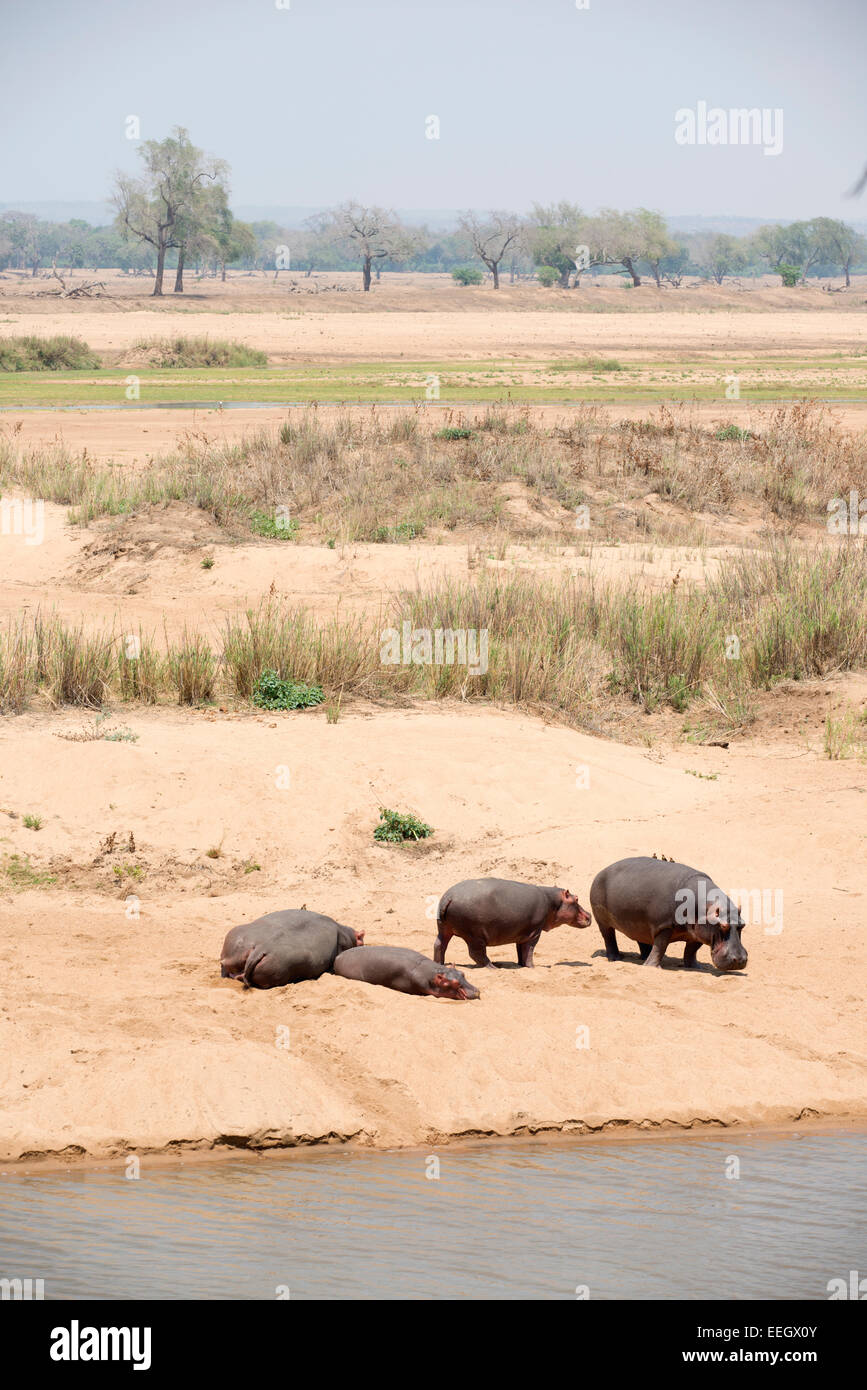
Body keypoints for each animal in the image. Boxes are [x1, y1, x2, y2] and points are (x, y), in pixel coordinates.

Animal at [434, 877, 592, 969]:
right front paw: (532, 968)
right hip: (474, 936)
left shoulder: (522, 933)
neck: (553, 902)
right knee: (476, 953)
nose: (589, 915)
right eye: (577, 898)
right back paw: (493, 967)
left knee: (439, 945)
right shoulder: (534, 933)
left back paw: (439, 965)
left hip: (444, 930)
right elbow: (529, 951)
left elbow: (520, 951)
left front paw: (521, 966)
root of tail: (449, 897)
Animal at [590, 857, 748, 972]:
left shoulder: (699, 932)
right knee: (609, 937)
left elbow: (691, 950)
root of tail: (602, 871)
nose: (740, 960)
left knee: (642, 940)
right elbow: (661, 946)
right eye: (723, 926)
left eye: (743, 925)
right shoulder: (663, 926)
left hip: (640, 924)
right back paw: (616, 958)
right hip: (603, 922)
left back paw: (644, 957)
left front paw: (696, 967)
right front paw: (652, 967)